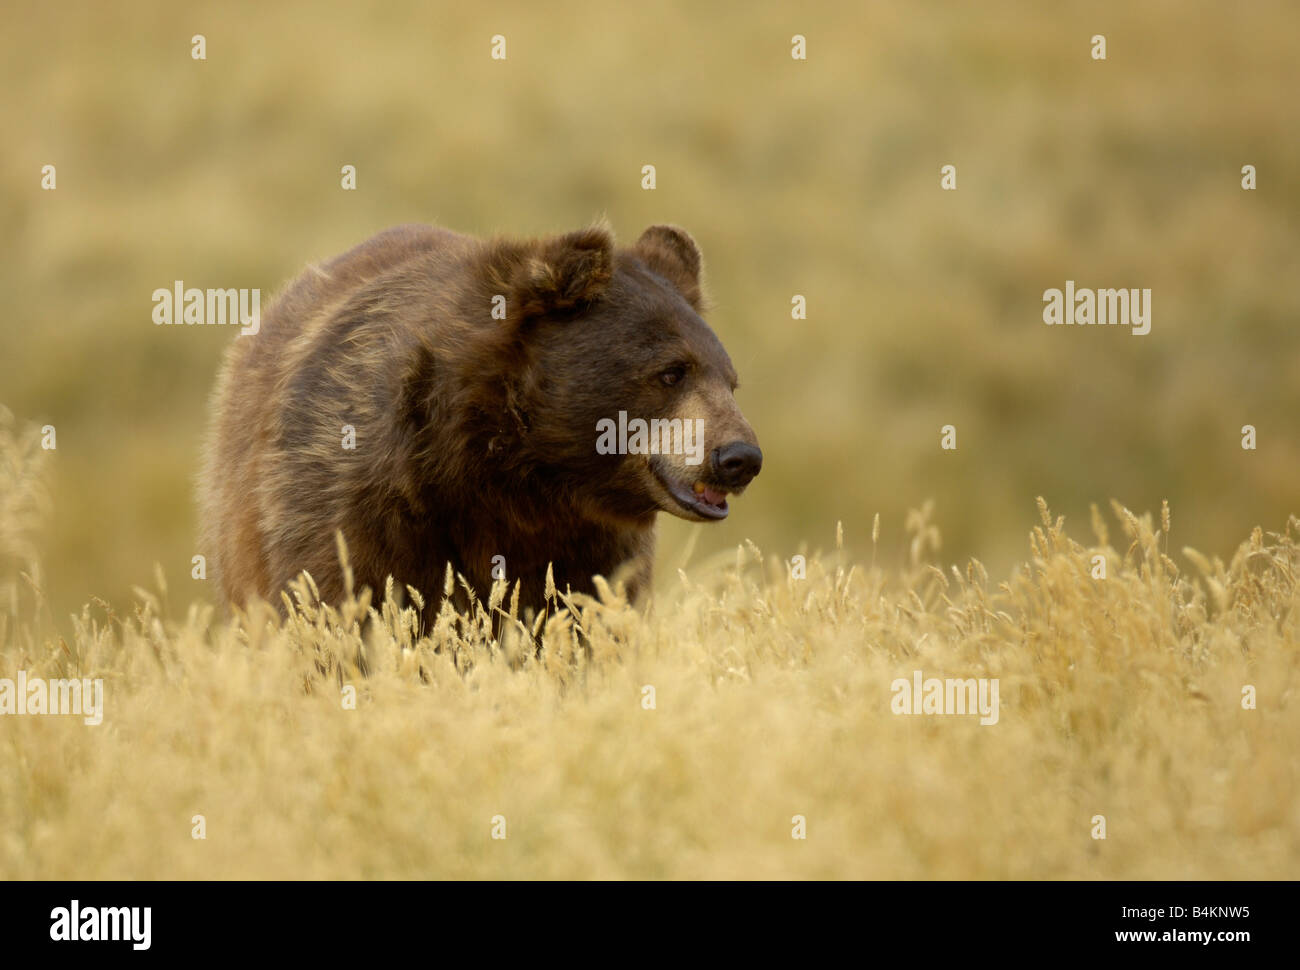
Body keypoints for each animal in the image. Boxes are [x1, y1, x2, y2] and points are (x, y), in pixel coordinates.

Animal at [198, 221, 762, 623]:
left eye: (730, 379)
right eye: (672, 371)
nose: (740, 457)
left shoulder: (591, 546)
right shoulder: (354, 496)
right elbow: (342, 600)